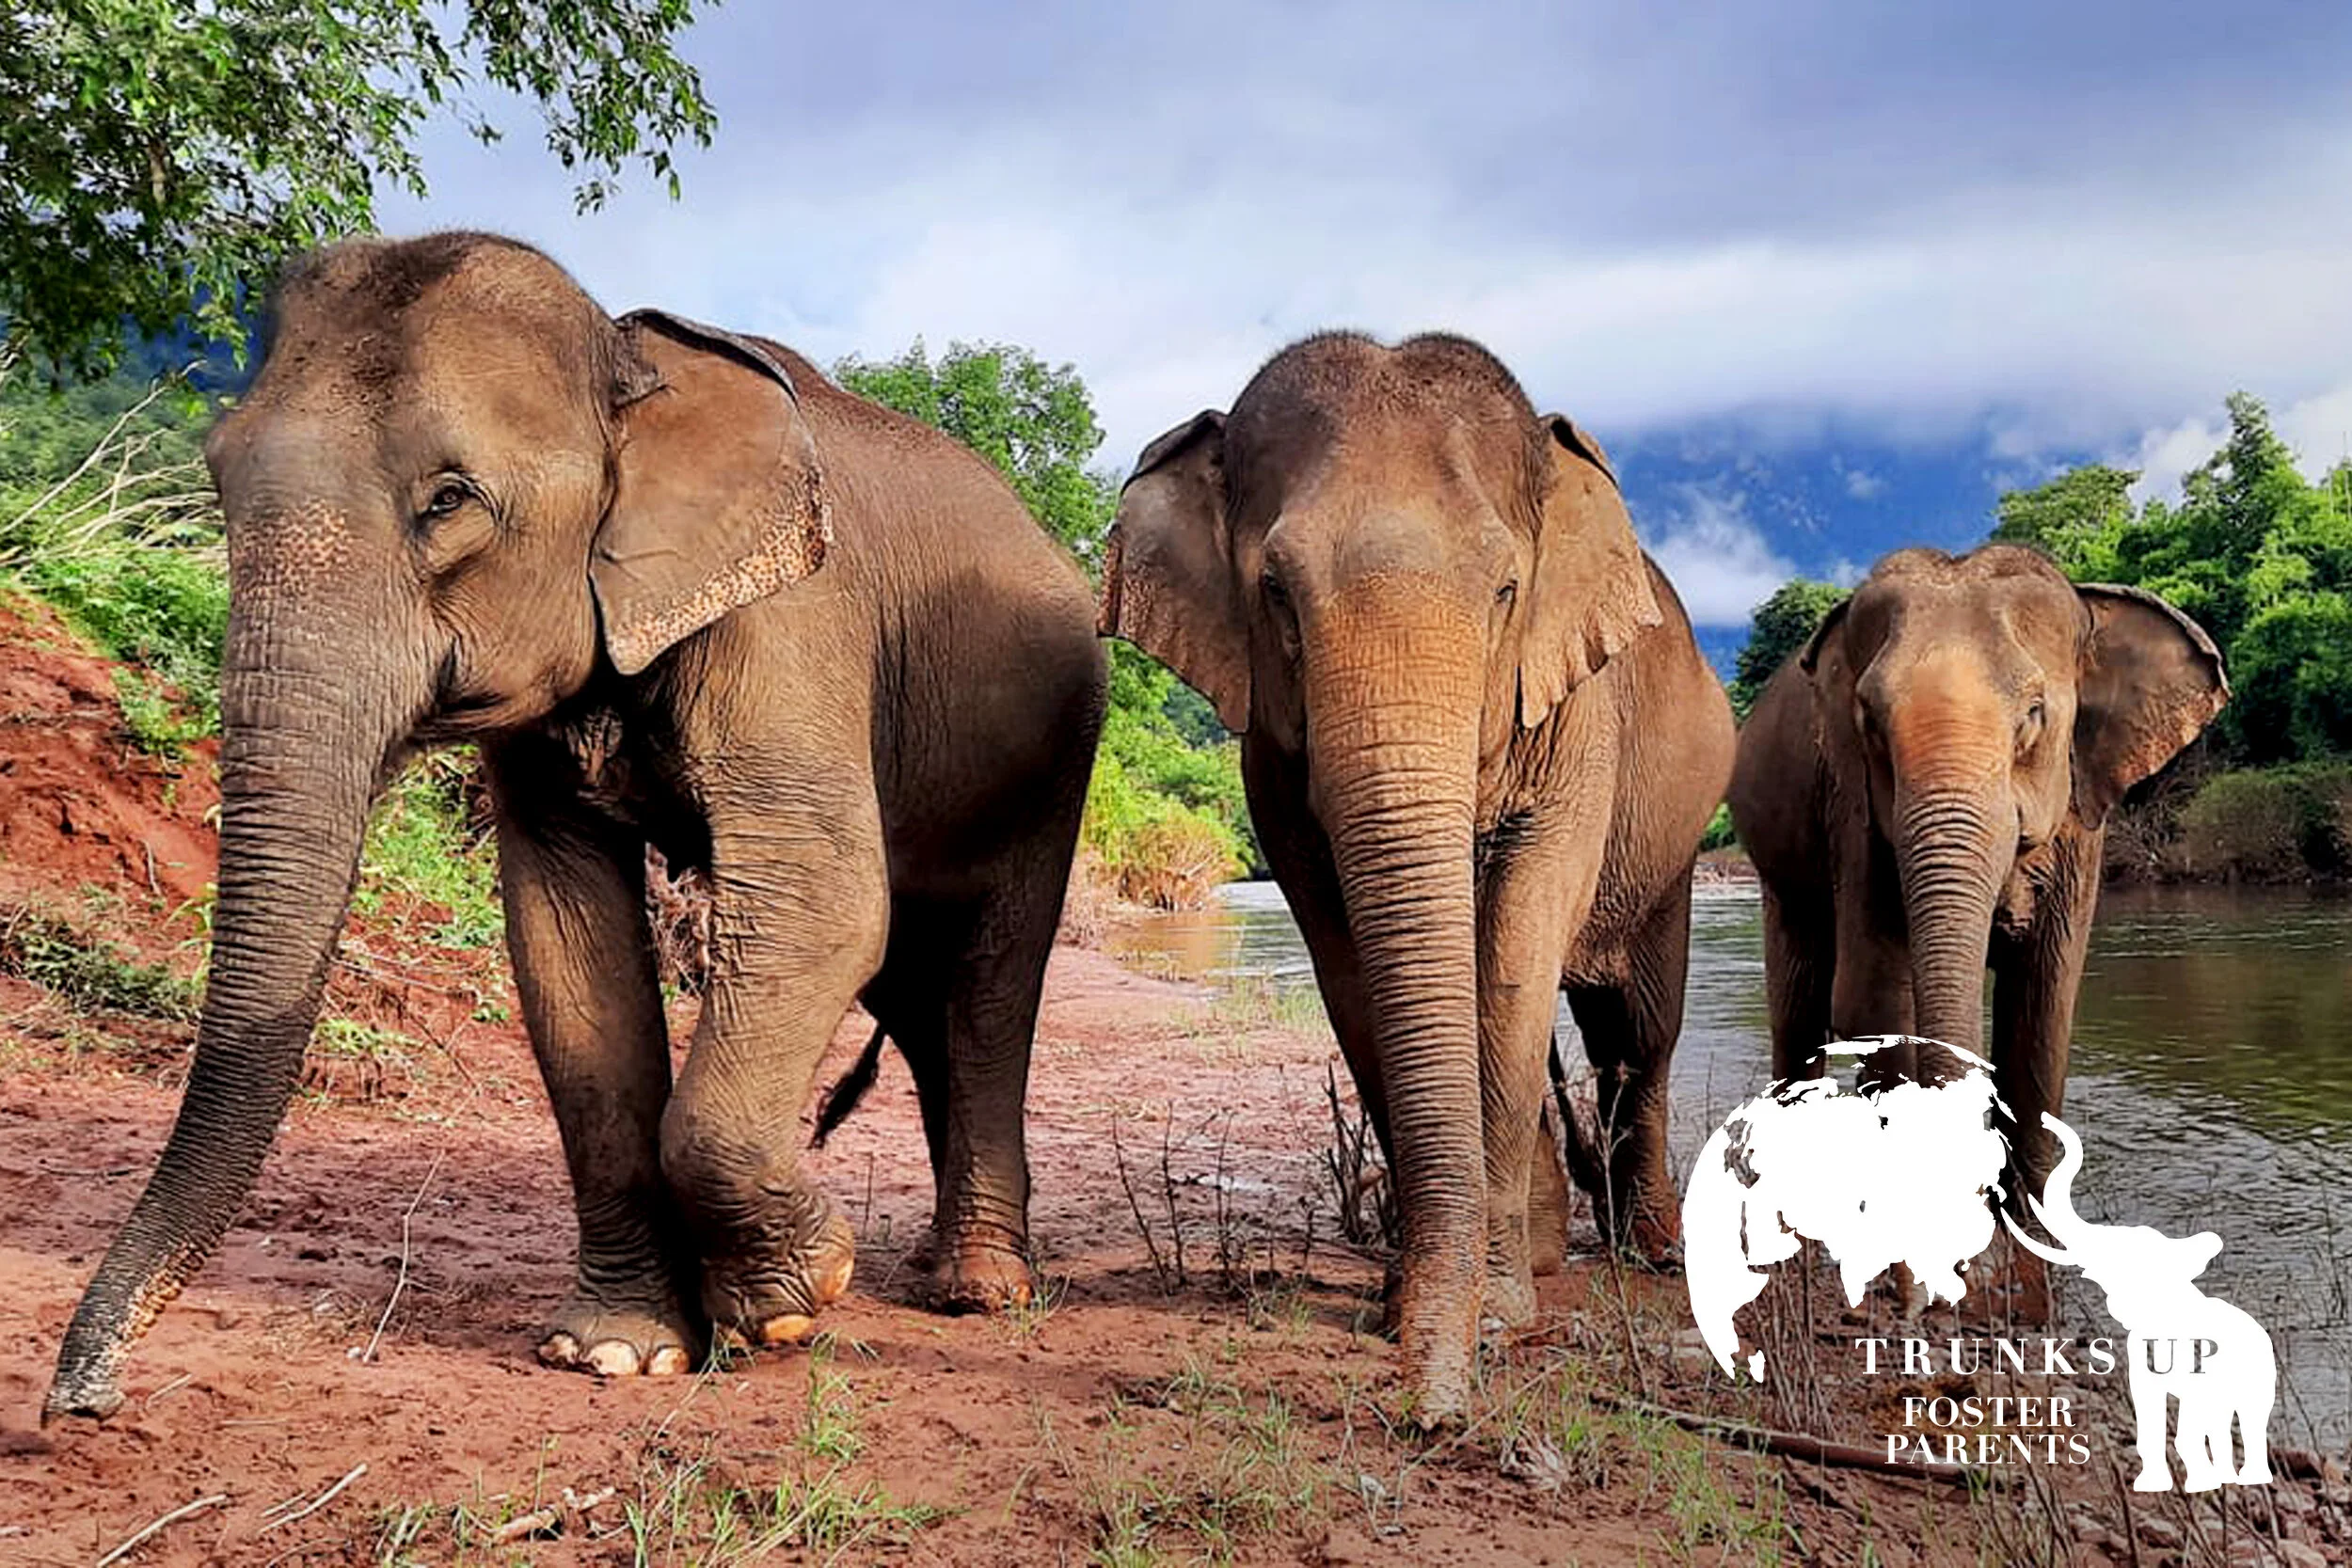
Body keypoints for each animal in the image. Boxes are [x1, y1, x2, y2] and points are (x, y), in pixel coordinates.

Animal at [45, 232, 1107, 1421]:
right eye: (218, 480)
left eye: (449, 498)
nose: (81, 1398)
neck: (624, 356)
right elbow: (565, 941)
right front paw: (618, 1351)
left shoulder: (792, 622)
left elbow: (820, 897)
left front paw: (786, 1300)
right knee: (917, 998)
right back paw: (934, 1263)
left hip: (1055, 750)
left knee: (984, 986)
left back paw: (977, 1288)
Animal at [1099, 331, 1736, 1421]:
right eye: (1275, 591)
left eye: (1506, 591)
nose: (1434, 1411)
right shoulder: (1269, 757)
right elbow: (1350, 968)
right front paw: (1422, 1300)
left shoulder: (1576, 716)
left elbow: (1515, 950)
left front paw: (1495, 1312)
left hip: (1672, 839)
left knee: (1640, 1031)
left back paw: (1648, 1248)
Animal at [1726, 545, 2226, 1211]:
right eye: (1869, 724)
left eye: (2034, 716)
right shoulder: (1851, 812)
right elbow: (1874, 999)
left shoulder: (2080, 818)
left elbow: (2042, 1008)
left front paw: (2031, 1230)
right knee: (1799, 1006)